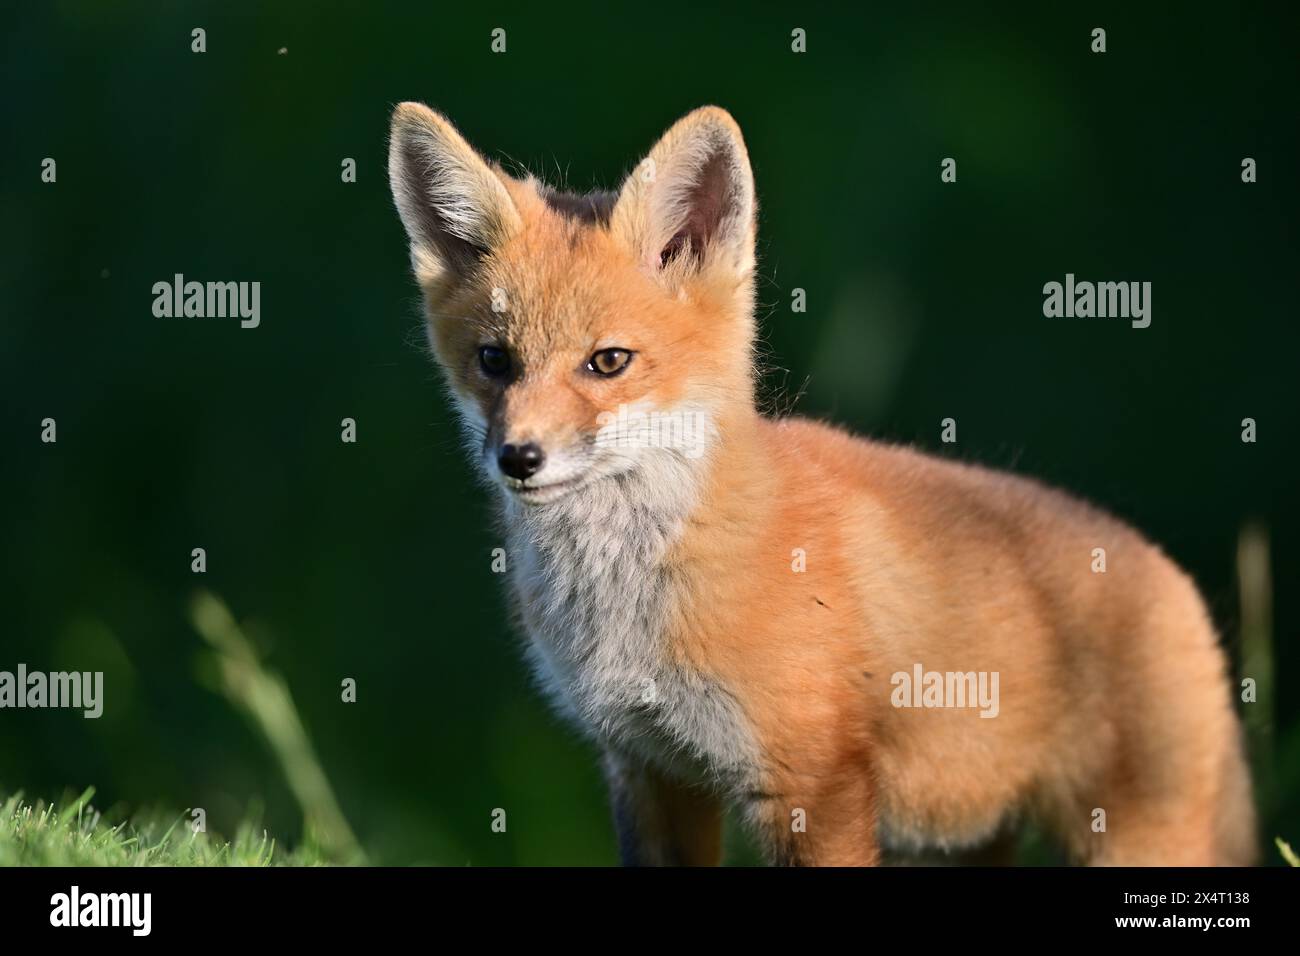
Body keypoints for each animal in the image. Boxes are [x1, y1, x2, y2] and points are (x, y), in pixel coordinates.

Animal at [387, 102, 1256, 866]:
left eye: (608, 362)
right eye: (495, 360)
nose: (518, 458)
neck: (630, 605)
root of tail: (1175, 580)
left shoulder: (813, 782)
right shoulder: (649, 767)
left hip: (1130, 838)